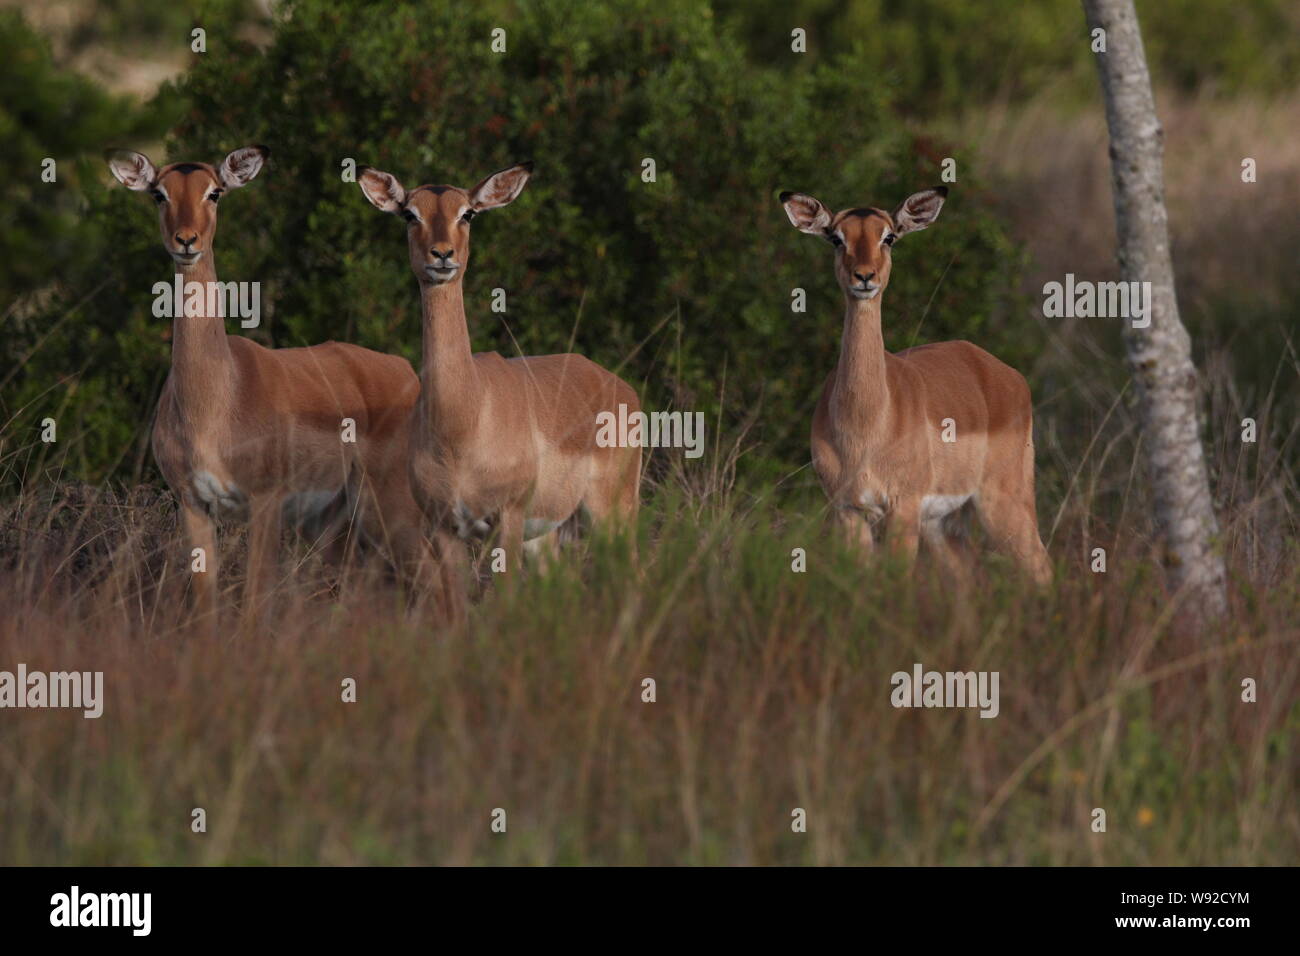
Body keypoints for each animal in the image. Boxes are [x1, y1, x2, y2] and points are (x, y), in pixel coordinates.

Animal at [106, 146, 460, 624]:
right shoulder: (194, 505)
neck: (215, 400)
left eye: (214, 192)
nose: (186, 240)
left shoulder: (265, 502)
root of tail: (406, 372)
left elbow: (255, 604)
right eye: (159, 193)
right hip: (336, 524)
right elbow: (207, 604)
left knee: (435, 583)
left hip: (389, 509)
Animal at [355, 161, 641, 584]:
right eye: (410, 214)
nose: (442, 254)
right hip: (548, 534)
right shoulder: (446, 528)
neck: (463, 422)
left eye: (468, 213)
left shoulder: (508, 518)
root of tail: (621, 387)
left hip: (612, 513)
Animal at [779, 186, 1051, 584]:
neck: (866, 426)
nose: (865, 276)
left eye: (889, 236)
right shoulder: (849, 509)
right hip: (941, 524)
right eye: (836, 238)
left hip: (1003, 502)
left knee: (1041, 567)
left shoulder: (902, 509)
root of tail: (1002, 372)